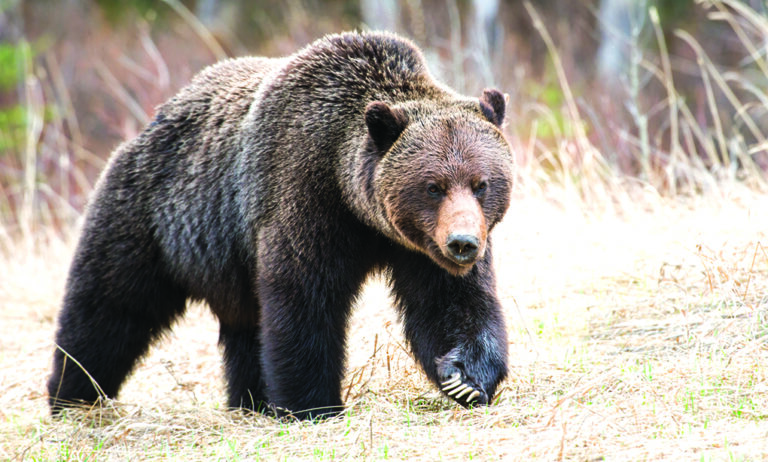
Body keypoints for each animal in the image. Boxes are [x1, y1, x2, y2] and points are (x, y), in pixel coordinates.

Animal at [47, 31, 512, 420]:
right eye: (433, 186)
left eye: (481, 183)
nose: (462, 243)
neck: (359, 210)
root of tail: (152, 121)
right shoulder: (304, 197)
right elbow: (303, 299)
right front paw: (313, 405)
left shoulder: (417, 247)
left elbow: (452, 303)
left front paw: (465, 378)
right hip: (153, 218)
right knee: (108, 308)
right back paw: (71, 397)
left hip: (226, 264)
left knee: (243, 328)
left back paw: (249, 400)